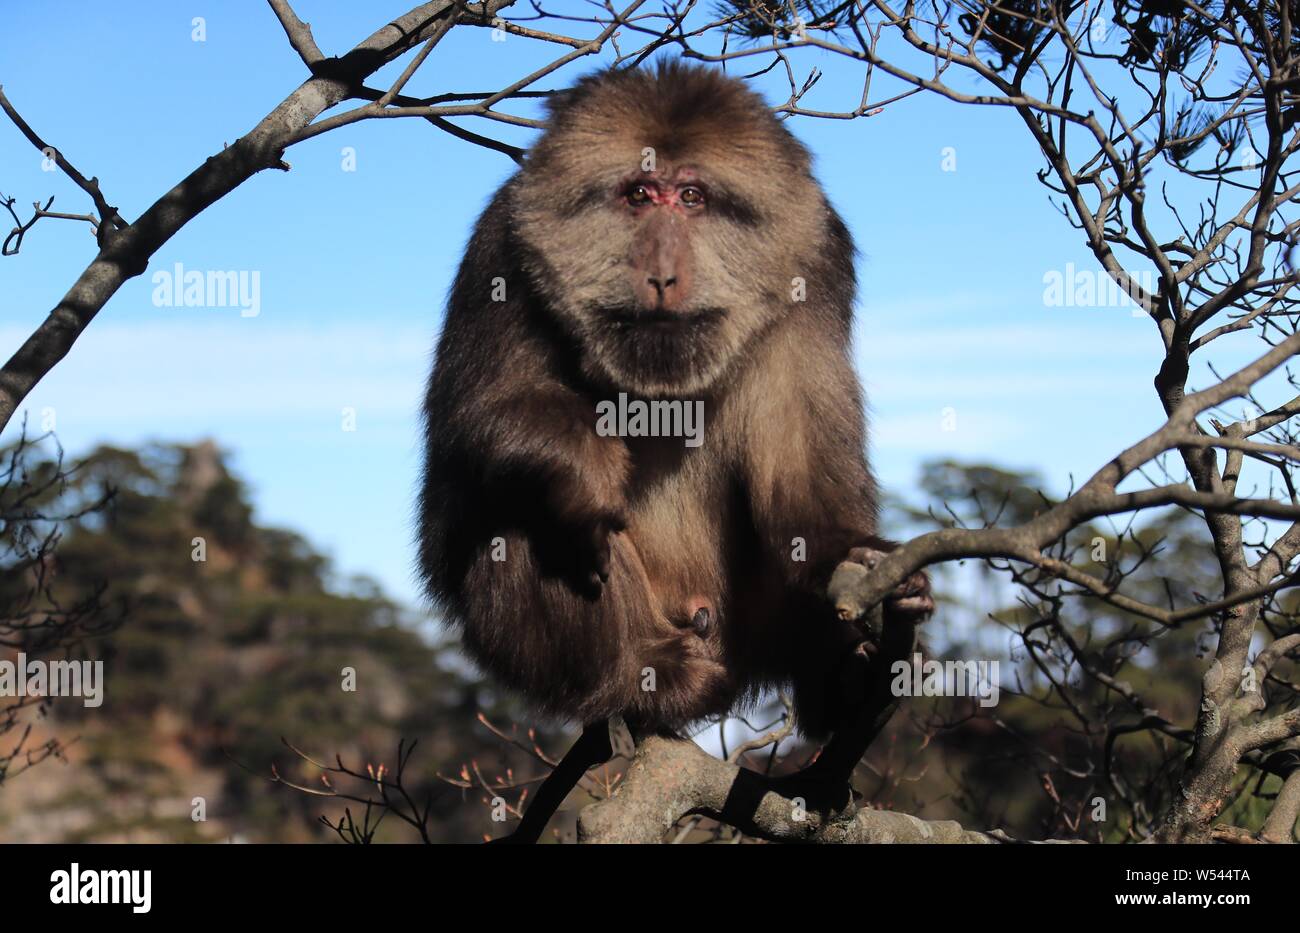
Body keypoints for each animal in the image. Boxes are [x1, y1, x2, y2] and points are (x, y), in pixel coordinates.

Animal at [417, 62, 932, 774]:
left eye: (690, 196)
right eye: (639, 193)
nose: (660, 270)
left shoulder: (818, 267)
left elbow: (800, 484)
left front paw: (853, 556)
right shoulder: (503, 252)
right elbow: (471, 423)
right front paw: (585, 470)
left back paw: (849, 678)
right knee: (523, 518)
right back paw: (644, 677)